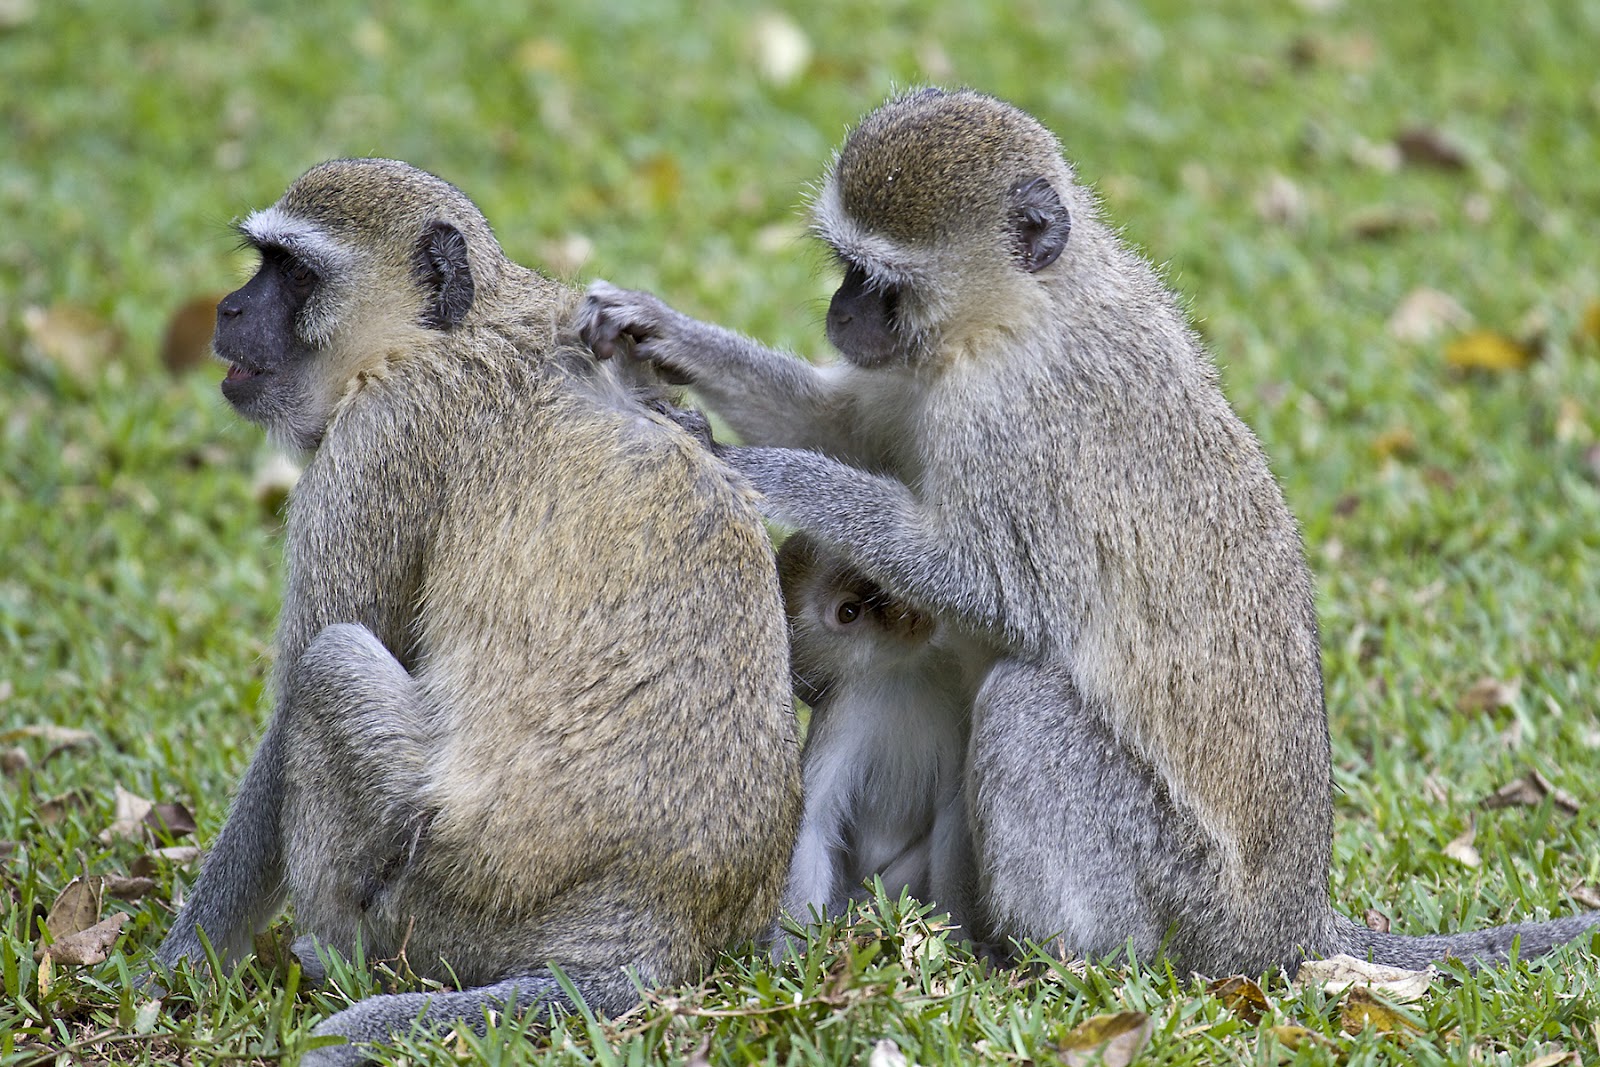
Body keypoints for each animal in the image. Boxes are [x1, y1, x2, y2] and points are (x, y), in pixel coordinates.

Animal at [151, 158, 801, 1065]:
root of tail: (656, 924)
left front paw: (174, 971)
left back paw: (337, 959)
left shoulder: (380, 441)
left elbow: (286, 720)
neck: (456, 330)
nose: (229, 309)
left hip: (441, 907)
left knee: (331, 665)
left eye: (296, 274)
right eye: (262, 263)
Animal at [773, 532, 992, 949]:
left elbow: (952, 814)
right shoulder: (842, 716)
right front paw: (792, 954)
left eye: (872, 574)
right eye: (849, 612)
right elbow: (813, 826)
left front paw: (954, 938)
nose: (903, 607)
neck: (899, 674)